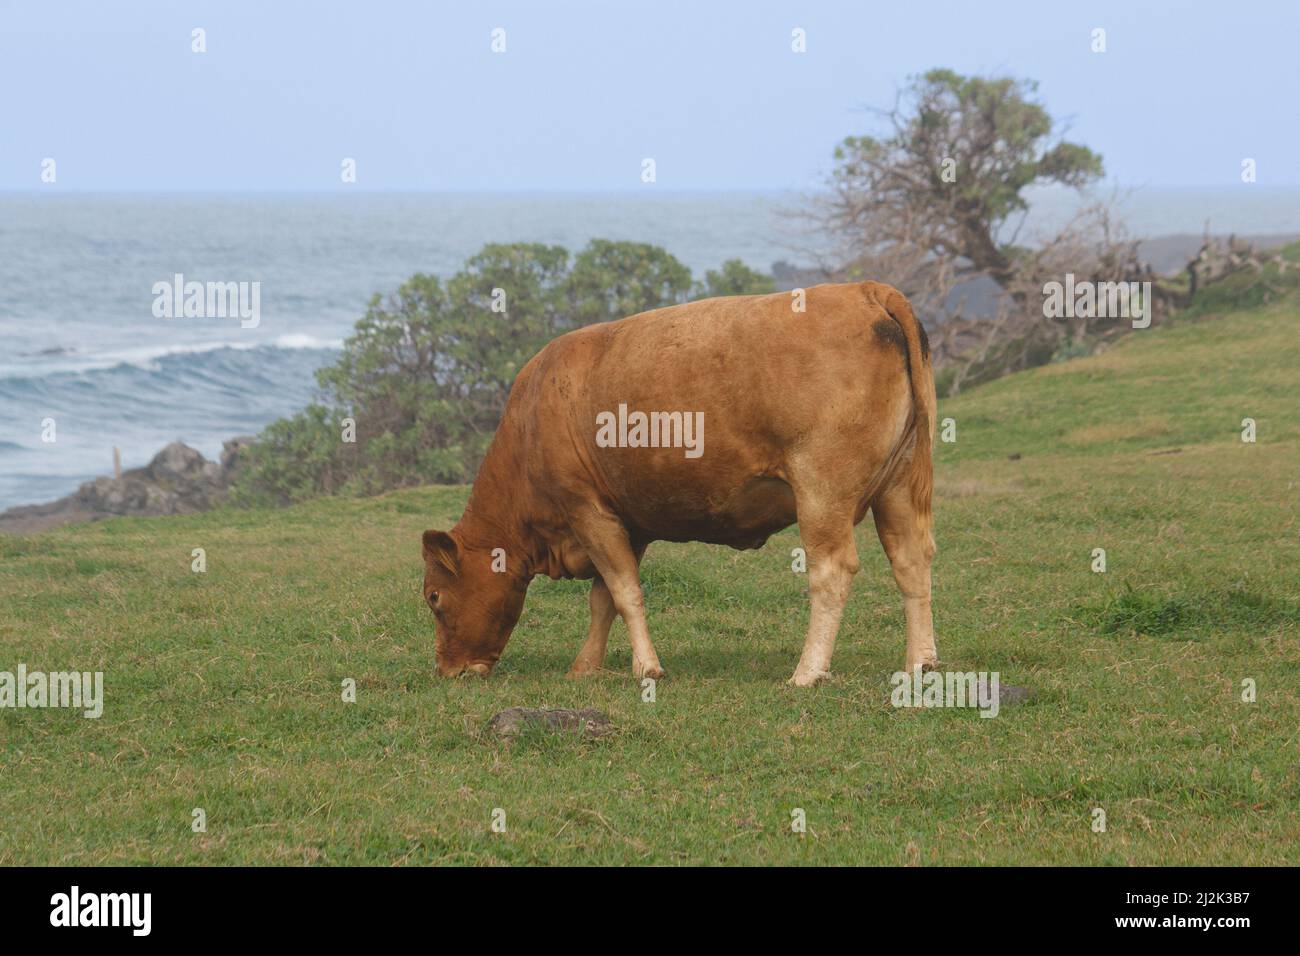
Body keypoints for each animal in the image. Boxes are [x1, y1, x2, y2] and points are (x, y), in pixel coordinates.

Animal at [421, 280, 938, 686]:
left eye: (434, 597)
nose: (447, 670)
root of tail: (864, 289)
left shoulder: (586, 508)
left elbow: (624, 592)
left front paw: (646, 668)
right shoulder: (628, 522)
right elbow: (604, 599)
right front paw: (585, 668)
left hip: (822, 490)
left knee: (831, 571)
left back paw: (807, 672)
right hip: (897, 485)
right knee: (911, 560)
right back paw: (920, 664)